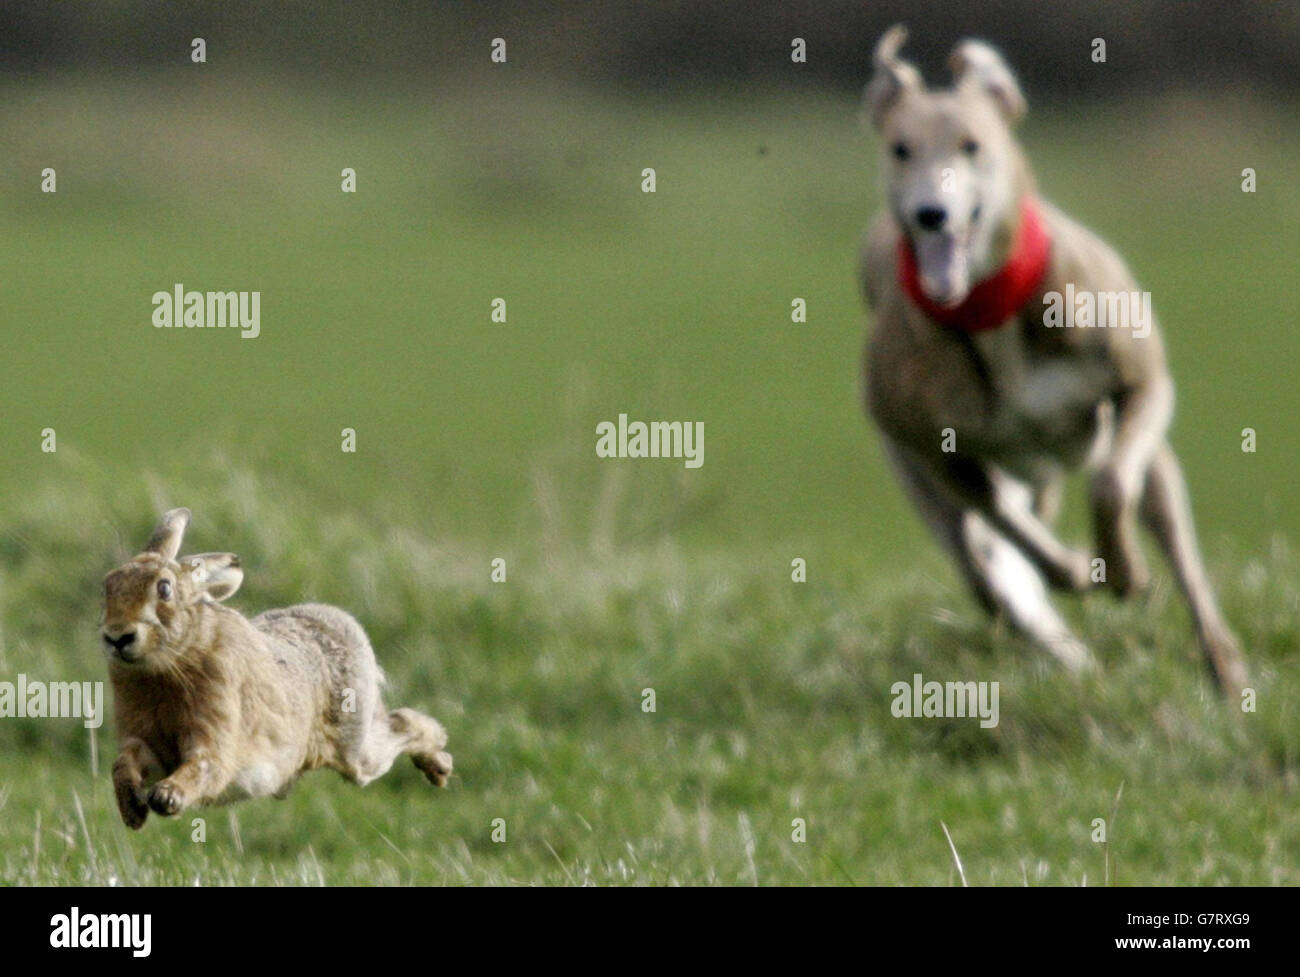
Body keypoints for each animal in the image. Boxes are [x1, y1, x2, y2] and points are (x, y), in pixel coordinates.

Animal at [100, 507, 453, 829]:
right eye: (108, 585)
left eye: (164, 589)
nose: (117, 636)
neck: (175, 658)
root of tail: (344, 623)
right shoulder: (143, 740)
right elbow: (122, 762)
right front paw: (132, 810)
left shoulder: (215, 736)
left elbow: (205, 765)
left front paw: (166, 797)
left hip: (353, 746)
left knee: (398, 726)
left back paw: (440, 766)